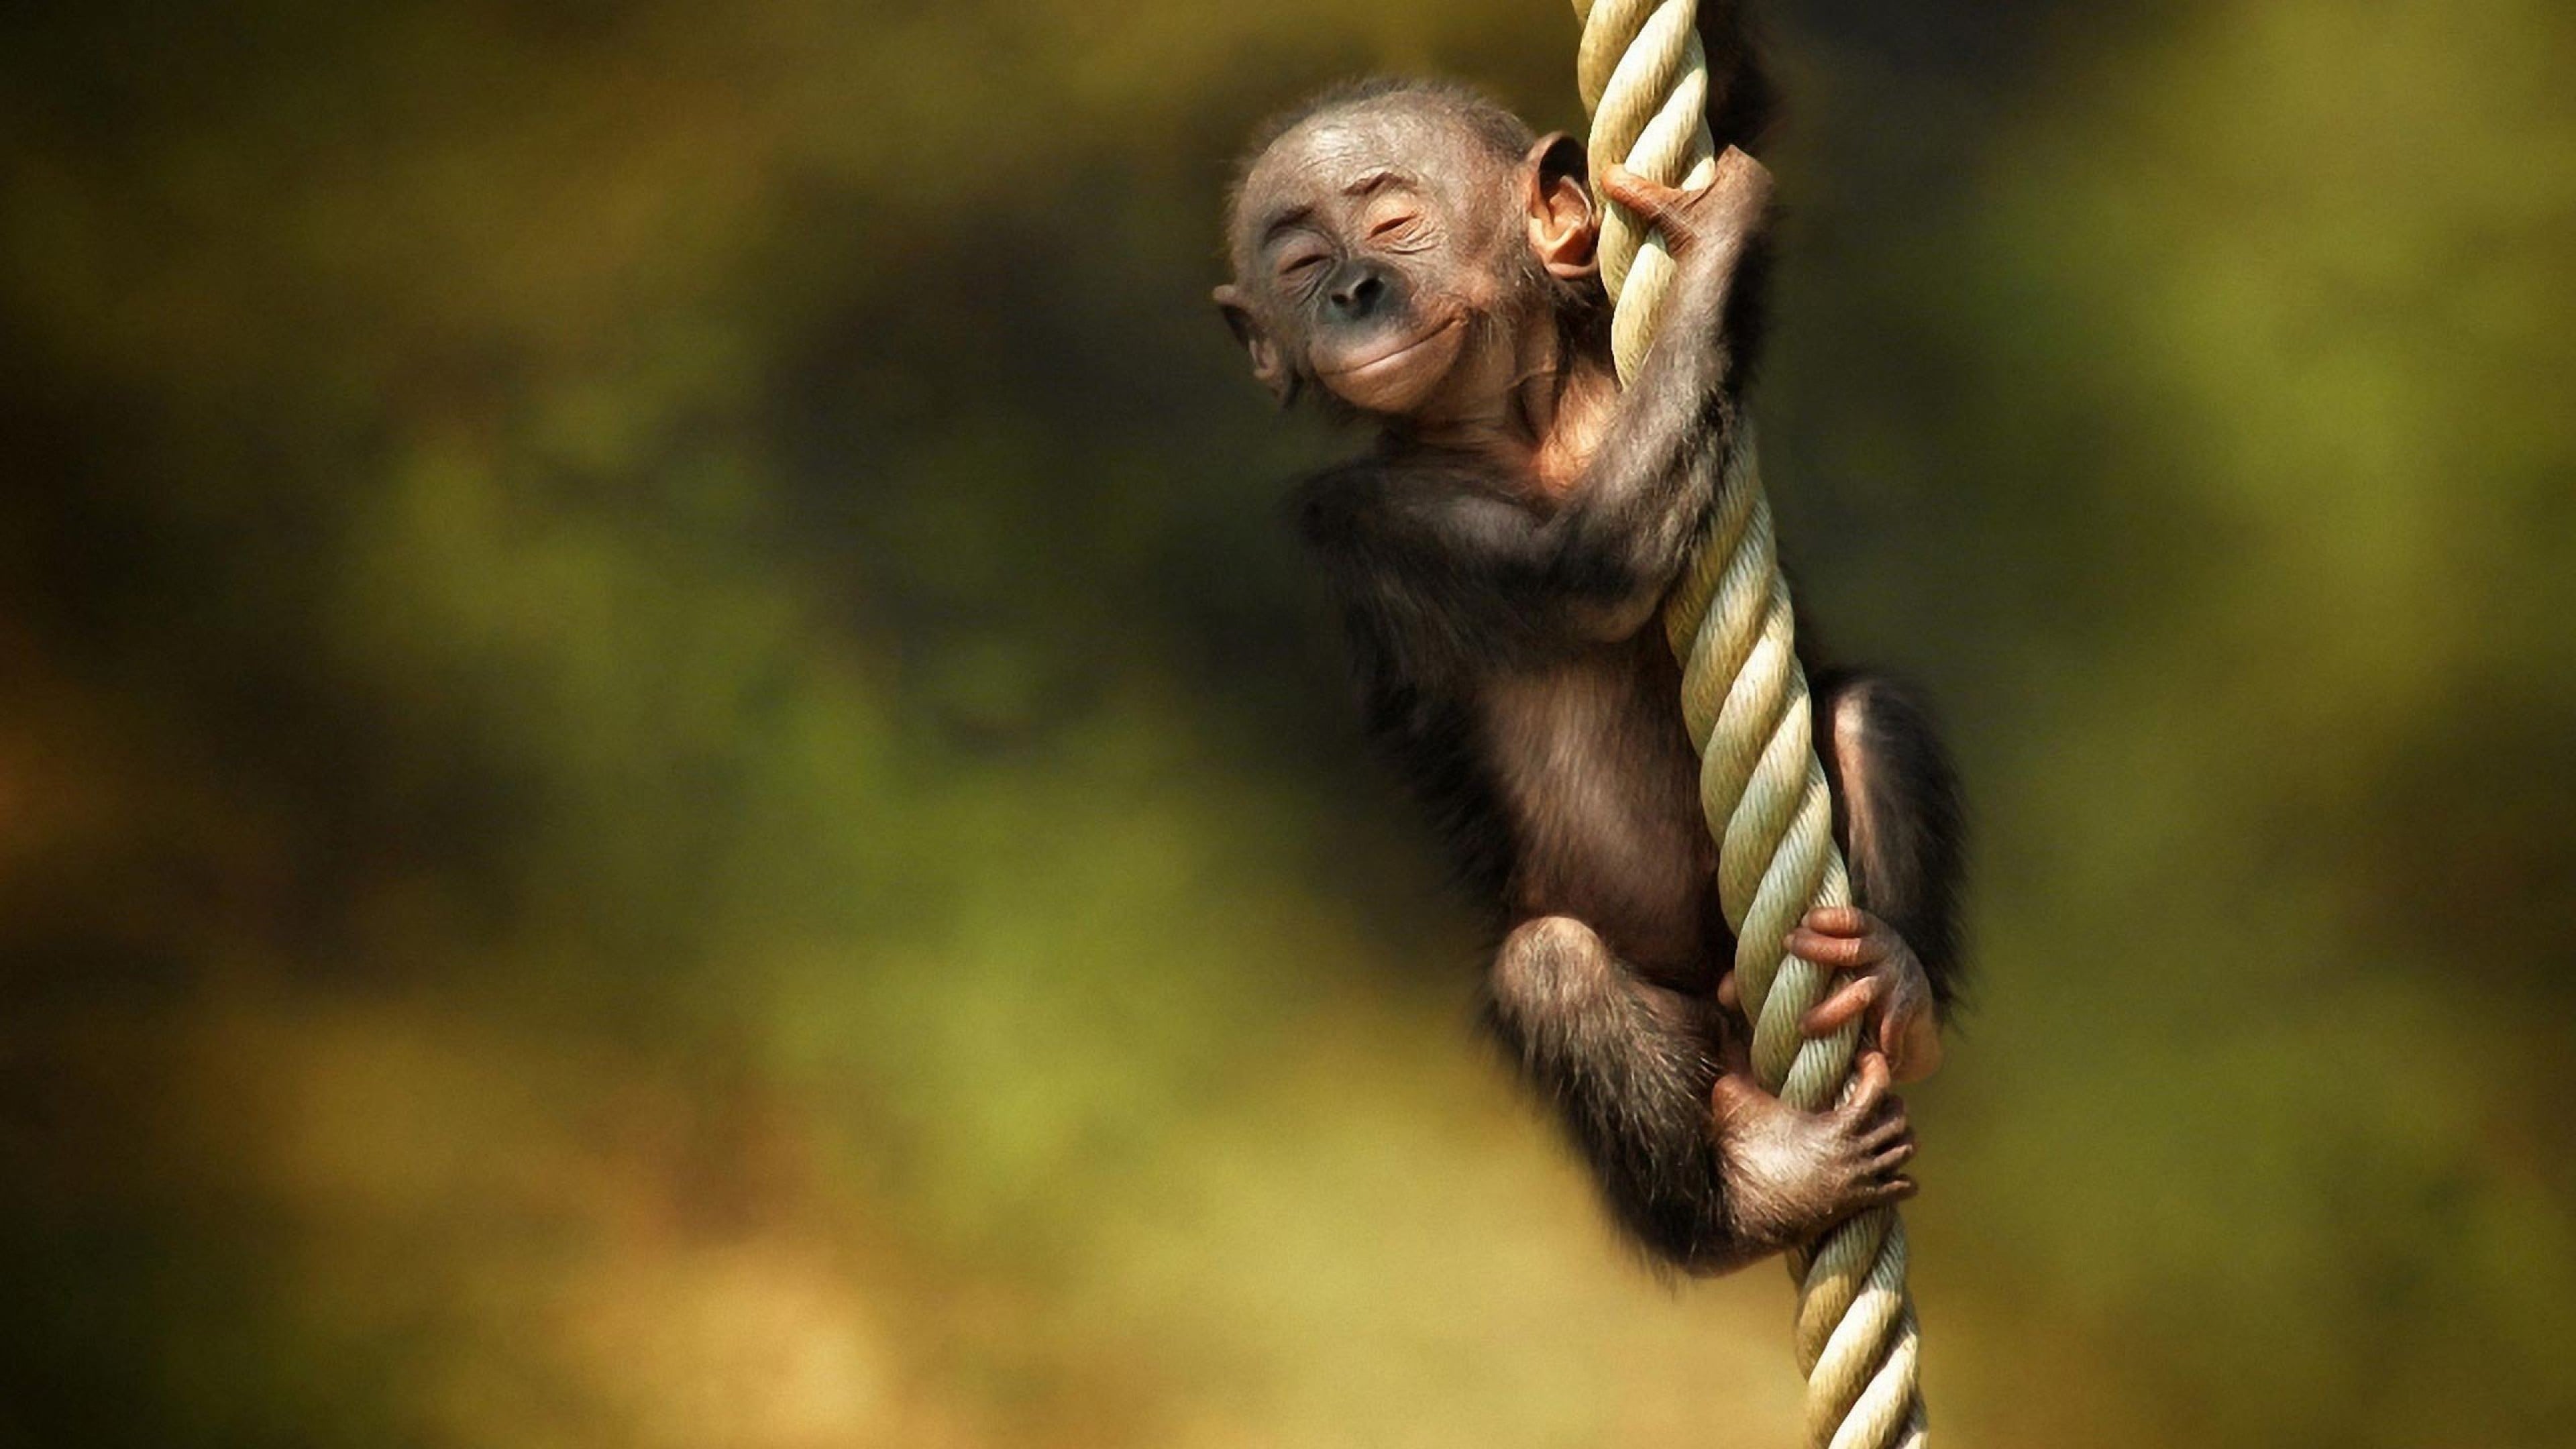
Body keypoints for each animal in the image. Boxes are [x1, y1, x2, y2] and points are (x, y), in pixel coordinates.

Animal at [1212, 60, 1966, 1276]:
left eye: (1393, 223)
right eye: (1300, 262)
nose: (1355, 291)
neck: (1515, 423)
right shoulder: (1366, 518)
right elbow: (1590, 566)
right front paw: (1711, 243)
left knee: (1868, 714)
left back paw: (1898, 988)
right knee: (1552, 973)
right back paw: (1758, 1193)